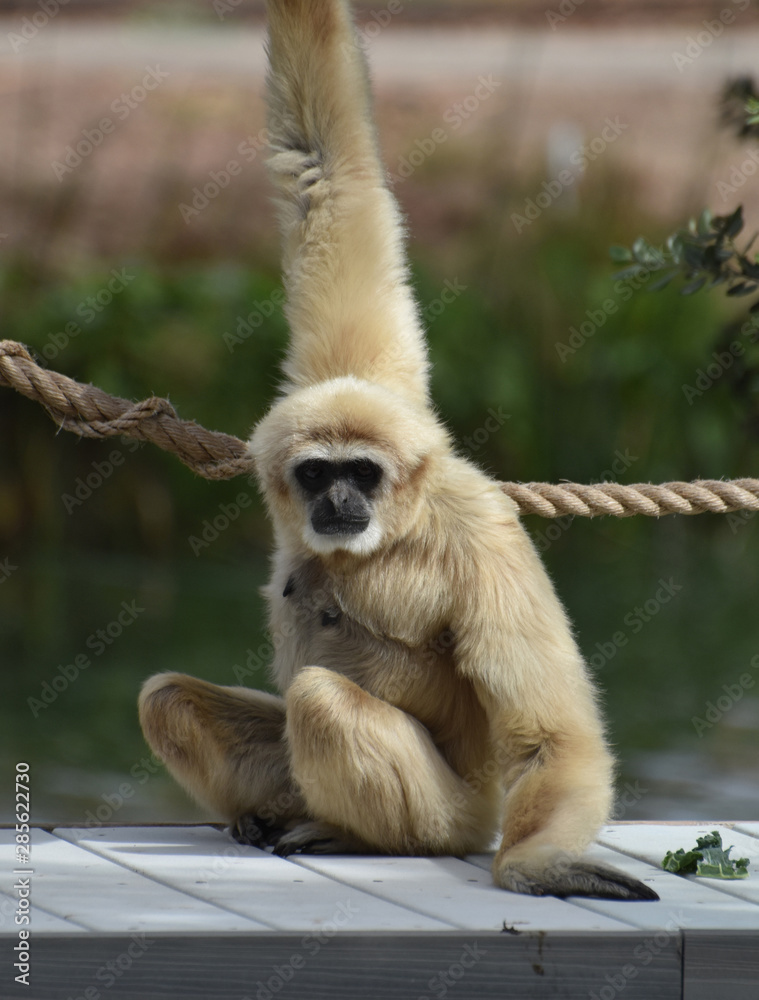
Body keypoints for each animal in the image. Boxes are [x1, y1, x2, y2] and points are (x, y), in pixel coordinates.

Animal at [138, 0, 658, 901]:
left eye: (362, 474)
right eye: (317, 472)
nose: (337, 501)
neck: (396, 530)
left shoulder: (481, 528)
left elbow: (546, 735)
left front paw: (540, 864)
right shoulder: (360, 379)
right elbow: (327, 174)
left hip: (454, 811)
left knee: (320, 701)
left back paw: (357, 836)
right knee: (167, 698)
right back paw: (272, 816)